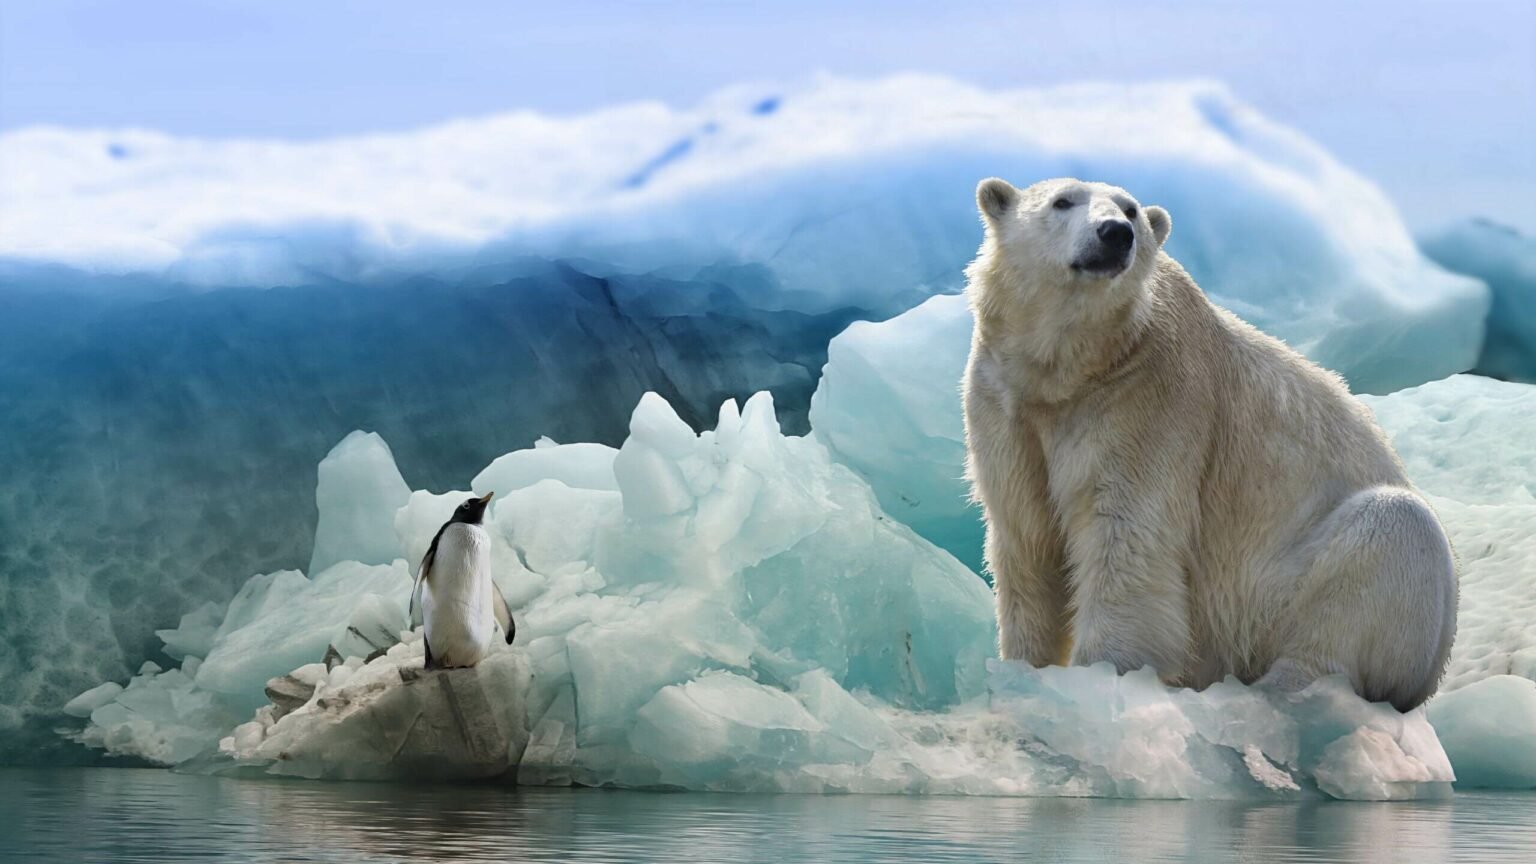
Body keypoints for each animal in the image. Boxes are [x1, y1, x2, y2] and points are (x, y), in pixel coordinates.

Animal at [962, 177, 1457, 711]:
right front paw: (1023, 669)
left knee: (1388, 536)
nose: (1115, 234)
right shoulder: (1006, 404)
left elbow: (1126, 537)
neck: (1074, 368)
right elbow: (1027, 537)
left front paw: (1103, 676)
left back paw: (1283, 689)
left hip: (1287, 593)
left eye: (1131, 210)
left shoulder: (1148, 399)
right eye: (1062, 201)